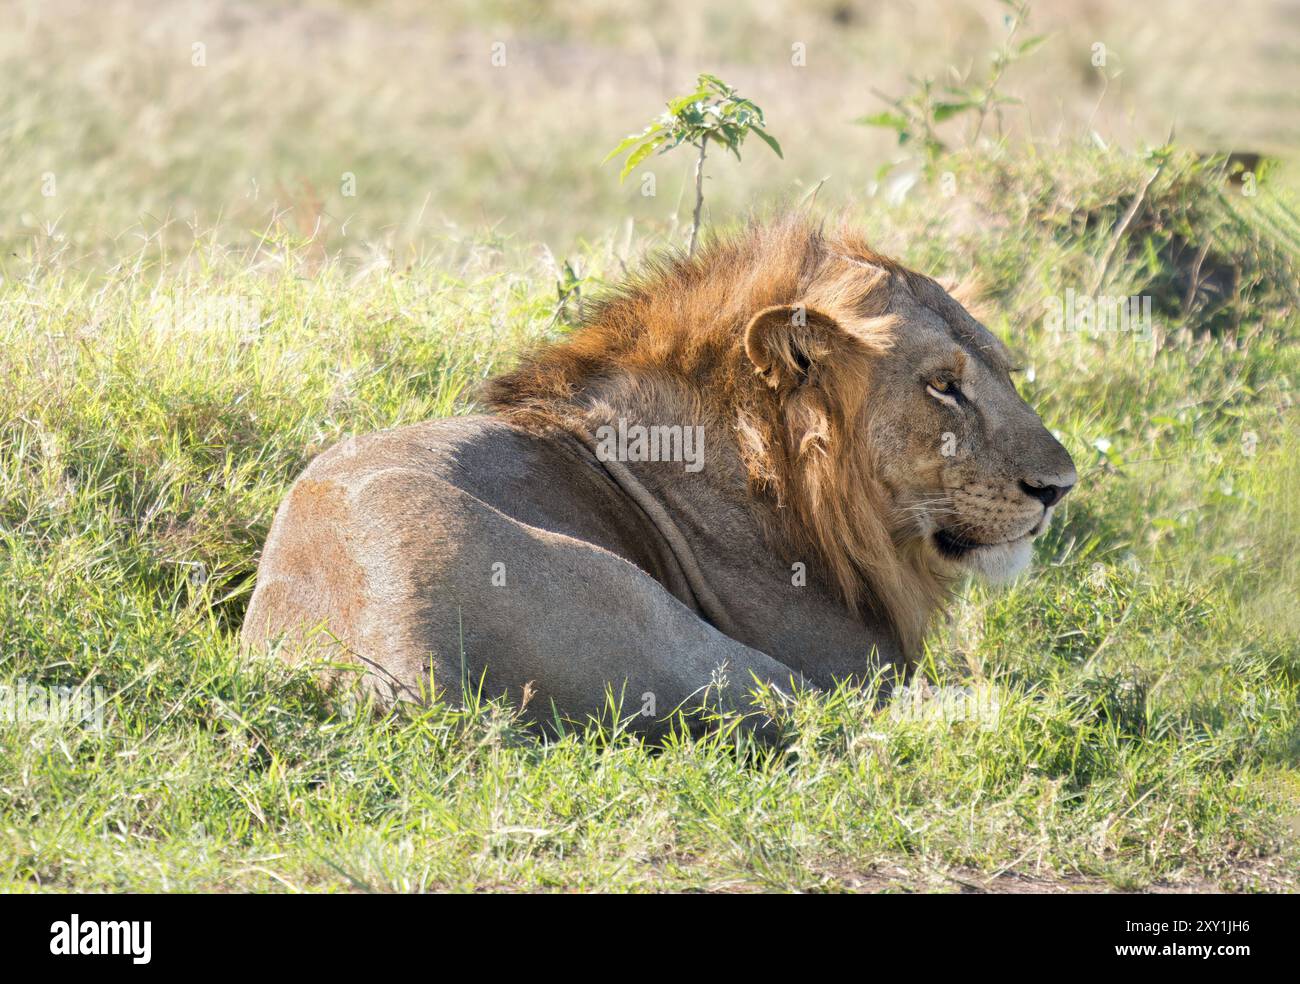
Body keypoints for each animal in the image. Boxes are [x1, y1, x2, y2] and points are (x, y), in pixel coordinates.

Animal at [241, 217, 1076, 737]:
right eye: (942, 385)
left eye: (1005, 370)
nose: (1059, 487)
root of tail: (396, 667)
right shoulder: (844, 660)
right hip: (655, 620)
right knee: (831, 713)